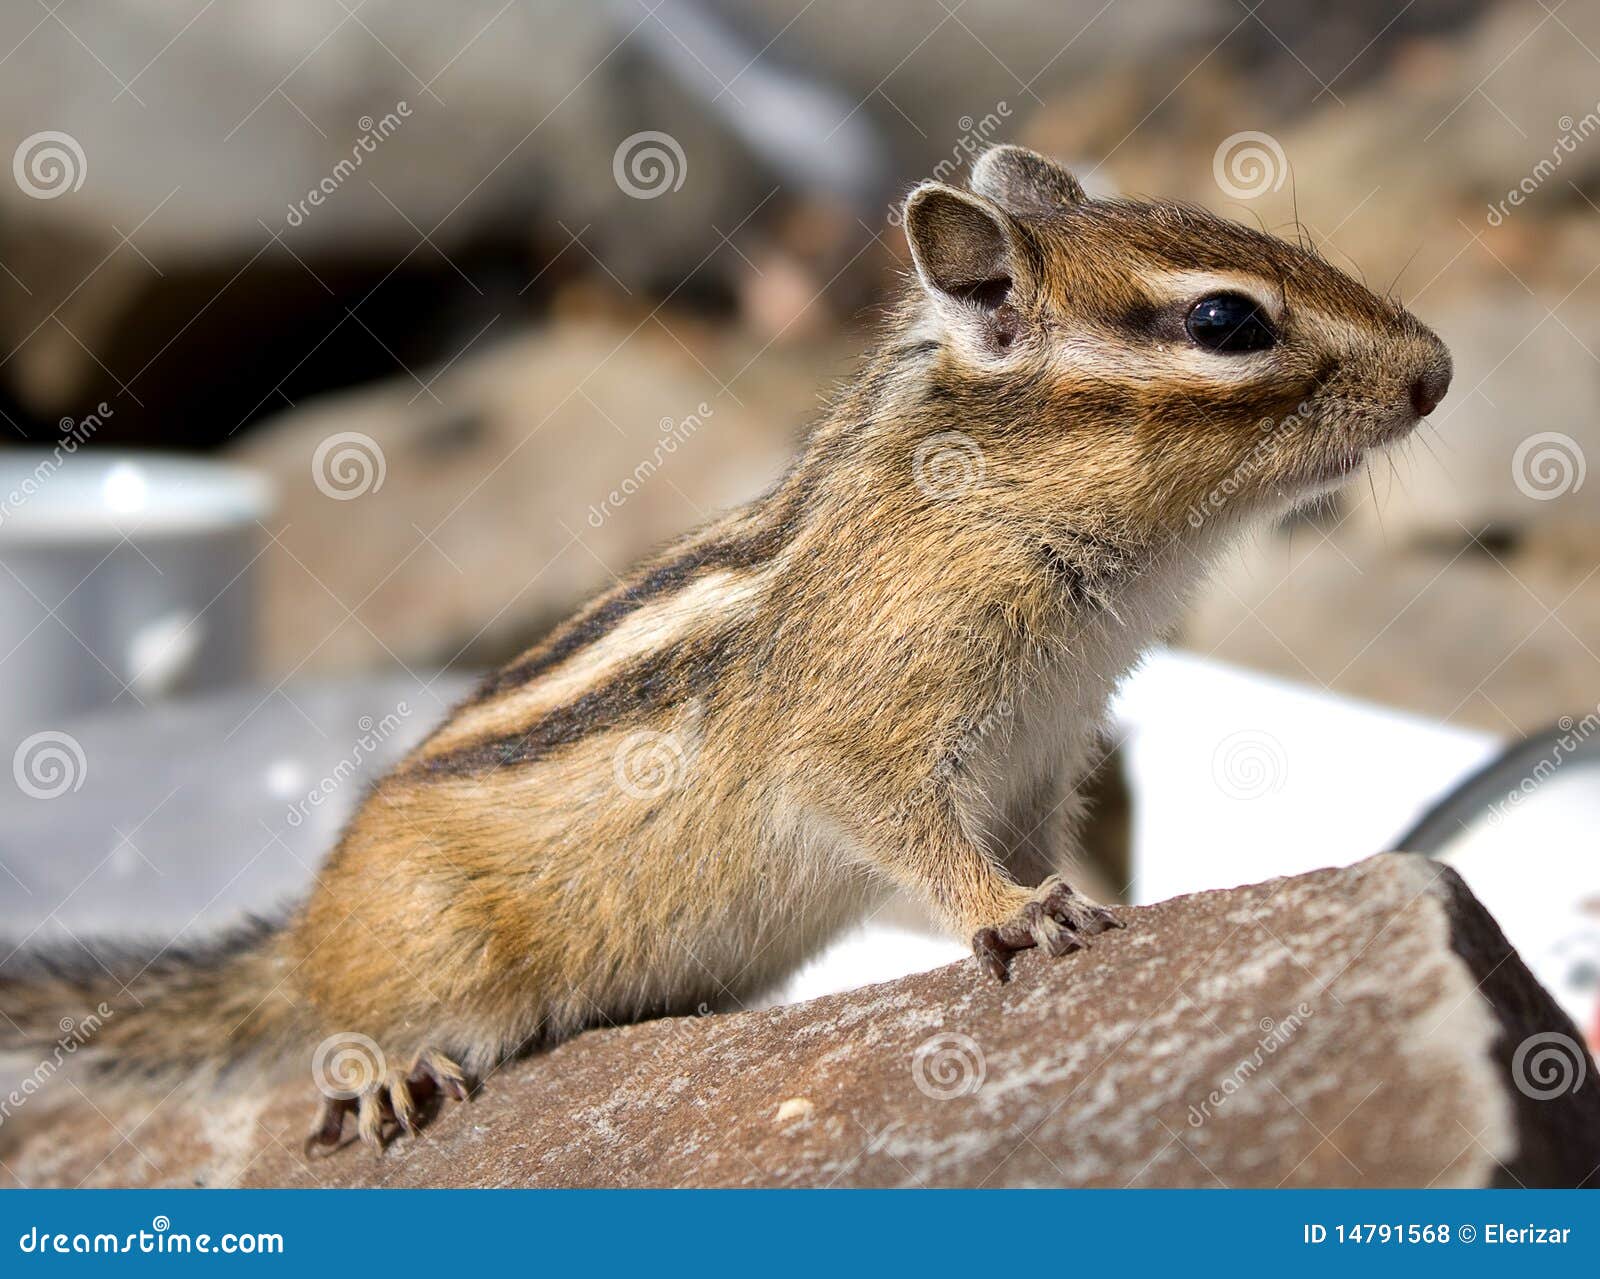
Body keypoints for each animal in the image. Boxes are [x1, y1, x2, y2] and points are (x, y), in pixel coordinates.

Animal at [0, 146, 1451, 1153]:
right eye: (1226, 323)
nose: (1437, 370)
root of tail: (304, 927)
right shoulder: (866, 733)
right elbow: (900, 825)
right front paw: (1010, 914)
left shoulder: (1042, 758)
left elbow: (1043, 840)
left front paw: (1094, 898)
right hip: (422, 956)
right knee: (335, 1024)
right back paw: (381, 1069)